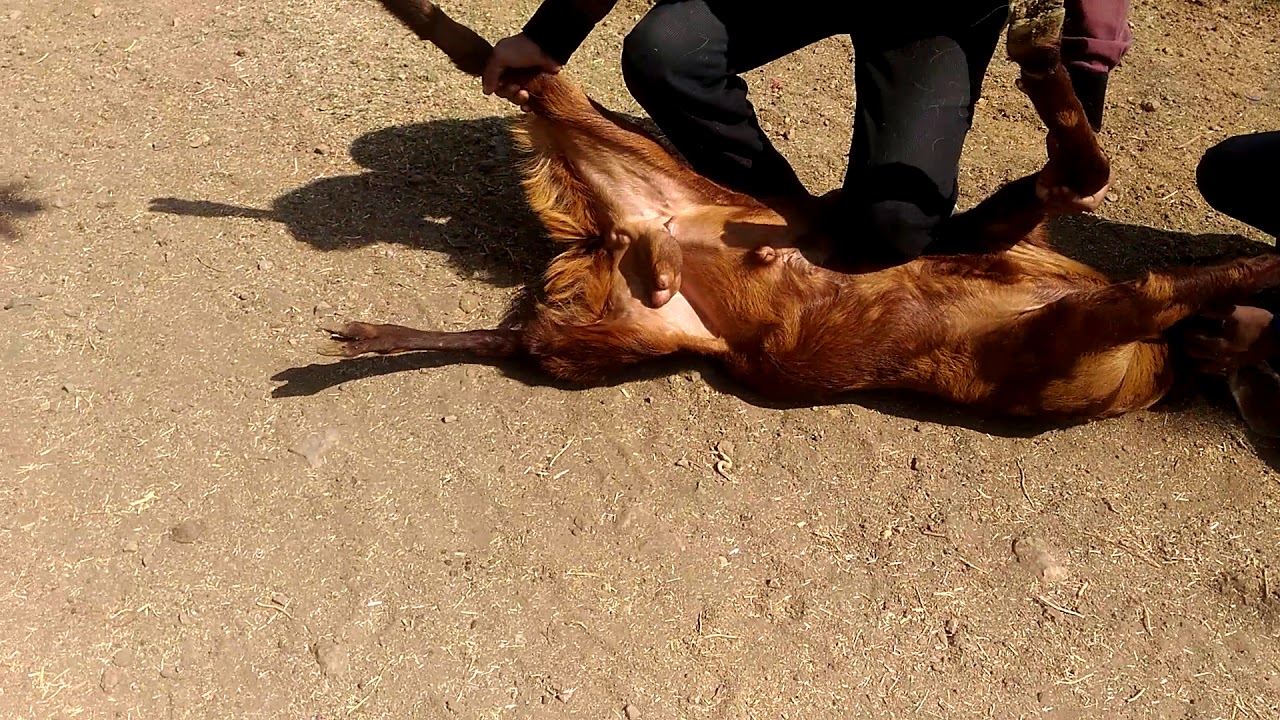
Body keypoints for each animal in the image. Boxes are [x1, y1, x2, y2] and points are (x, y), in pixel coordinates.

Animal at [319, 0, 1278, 424]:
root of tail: (619, 237)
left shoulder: (1040, 286)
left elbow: (1099, 195)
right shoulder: (1046, 284)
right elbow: (1093, 184)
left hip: (597, 337)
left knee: (508, 332)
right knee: (500, 58)